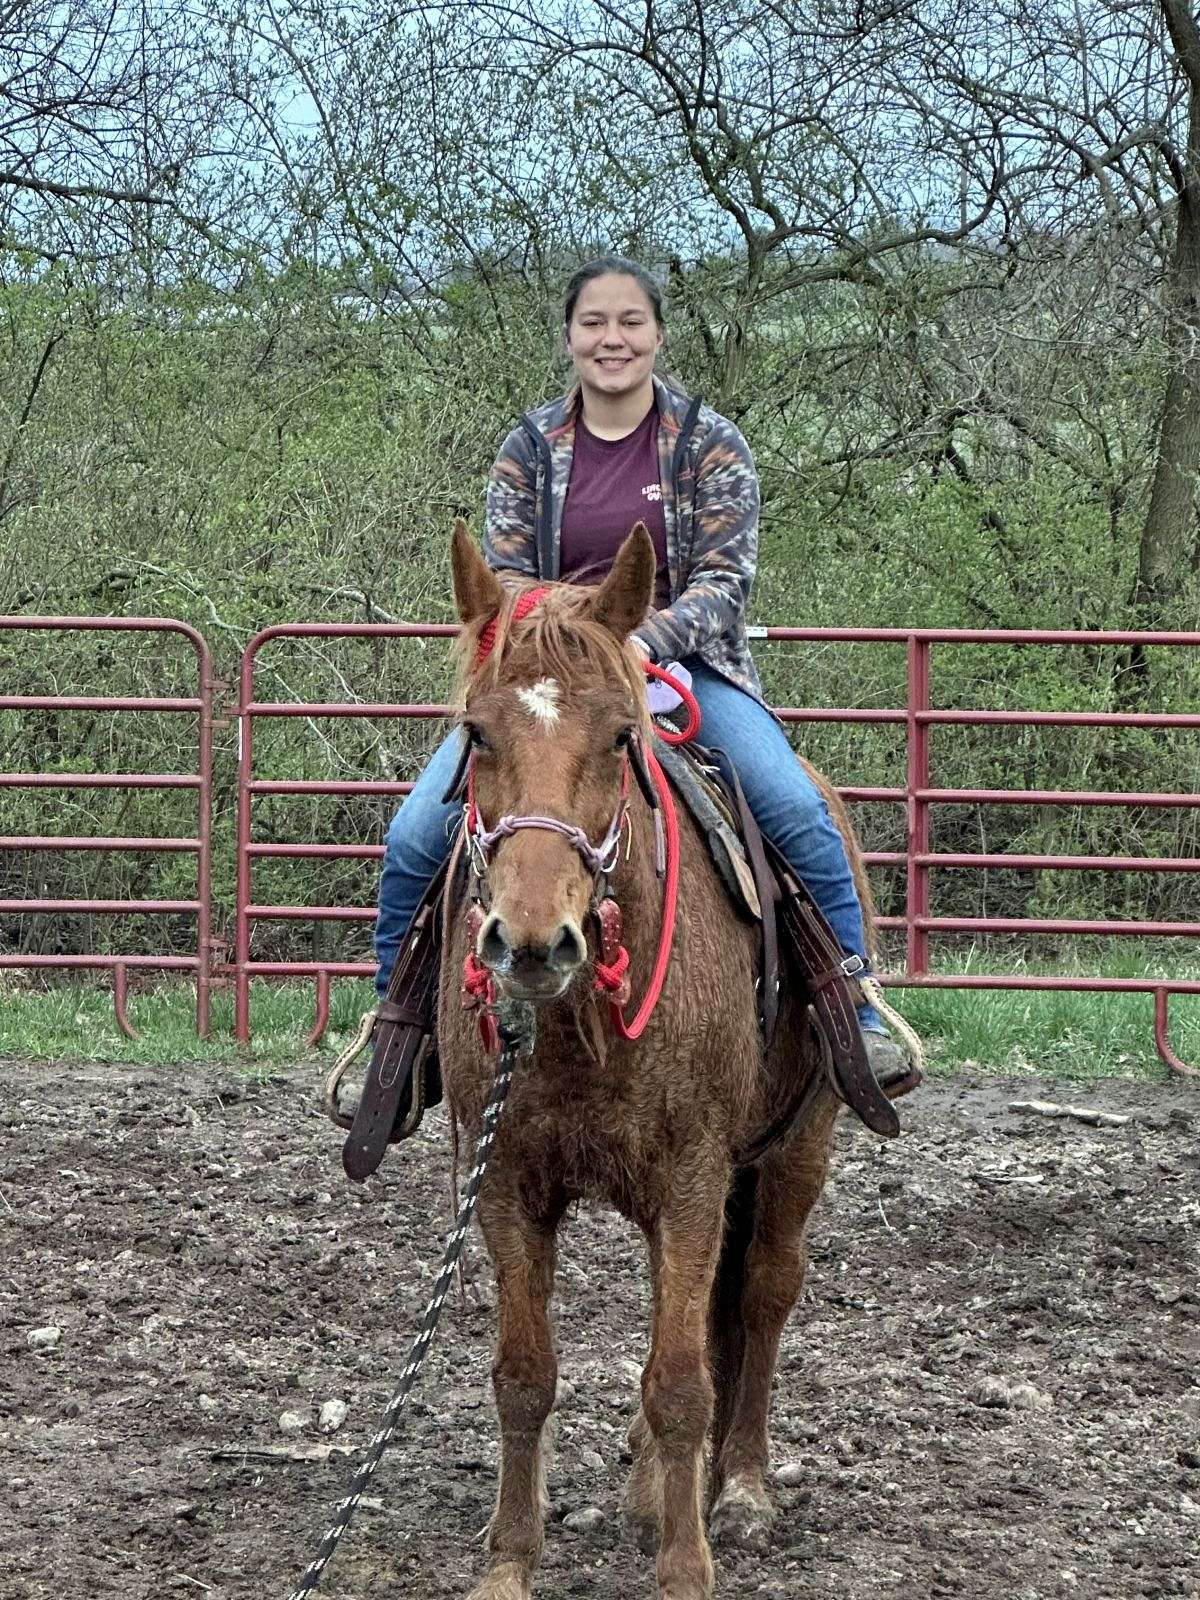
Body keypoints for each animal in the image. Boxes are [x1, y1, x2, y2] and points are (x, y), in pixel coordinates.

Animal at [438, 521, 873, 1600]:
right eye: (477, 734)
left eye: (619, 738)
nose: (534, 943)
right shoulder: (504, 1178)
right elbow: (525, 1376)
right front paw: (510, 1560)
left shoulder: (692, 1172)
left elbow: (682, 1377)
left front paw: (687, 1566)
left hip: (796, 1144)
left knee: (761, 1293)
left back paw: (741, 1485)